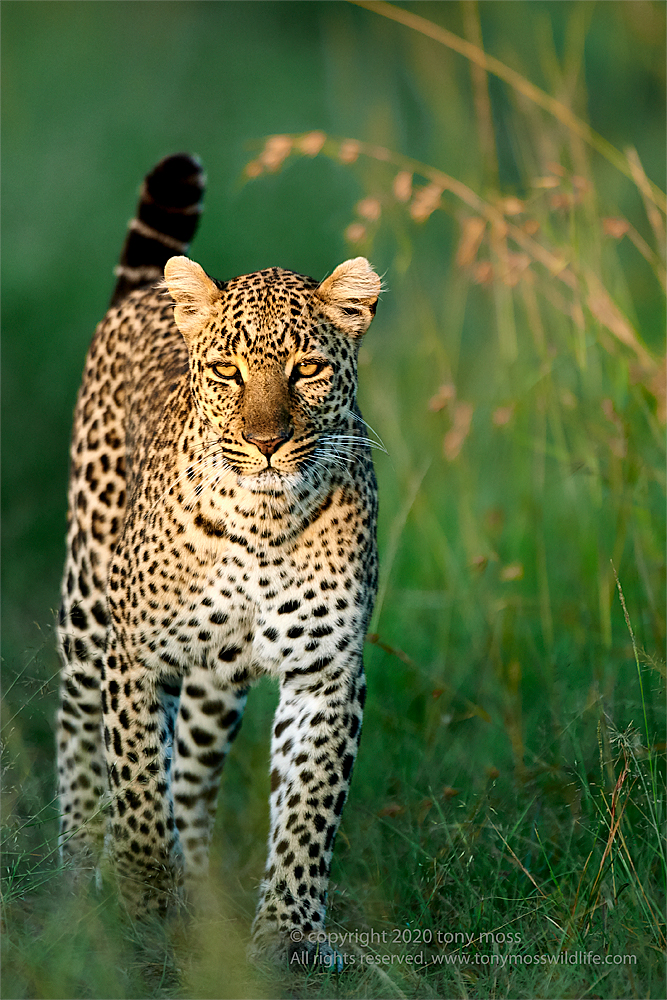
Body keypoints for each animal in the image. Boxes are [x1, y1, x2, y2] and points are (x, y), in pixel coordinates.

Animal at [56, 152, 381, 965]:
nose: (266, 442)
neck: (261, 526)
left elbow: (308, 808)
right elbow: (138, 788)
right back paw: (74, 887)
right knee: (77, 737)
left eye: (305, 370)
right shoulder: (136, 656)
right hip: (86, 609)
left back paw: (200, 906)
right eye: (228, 371)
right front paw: (141, 908)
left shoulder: (325, 672)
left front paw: (289, 935)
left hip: (215, 680)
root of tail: (143, 296)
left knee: (196, 778)